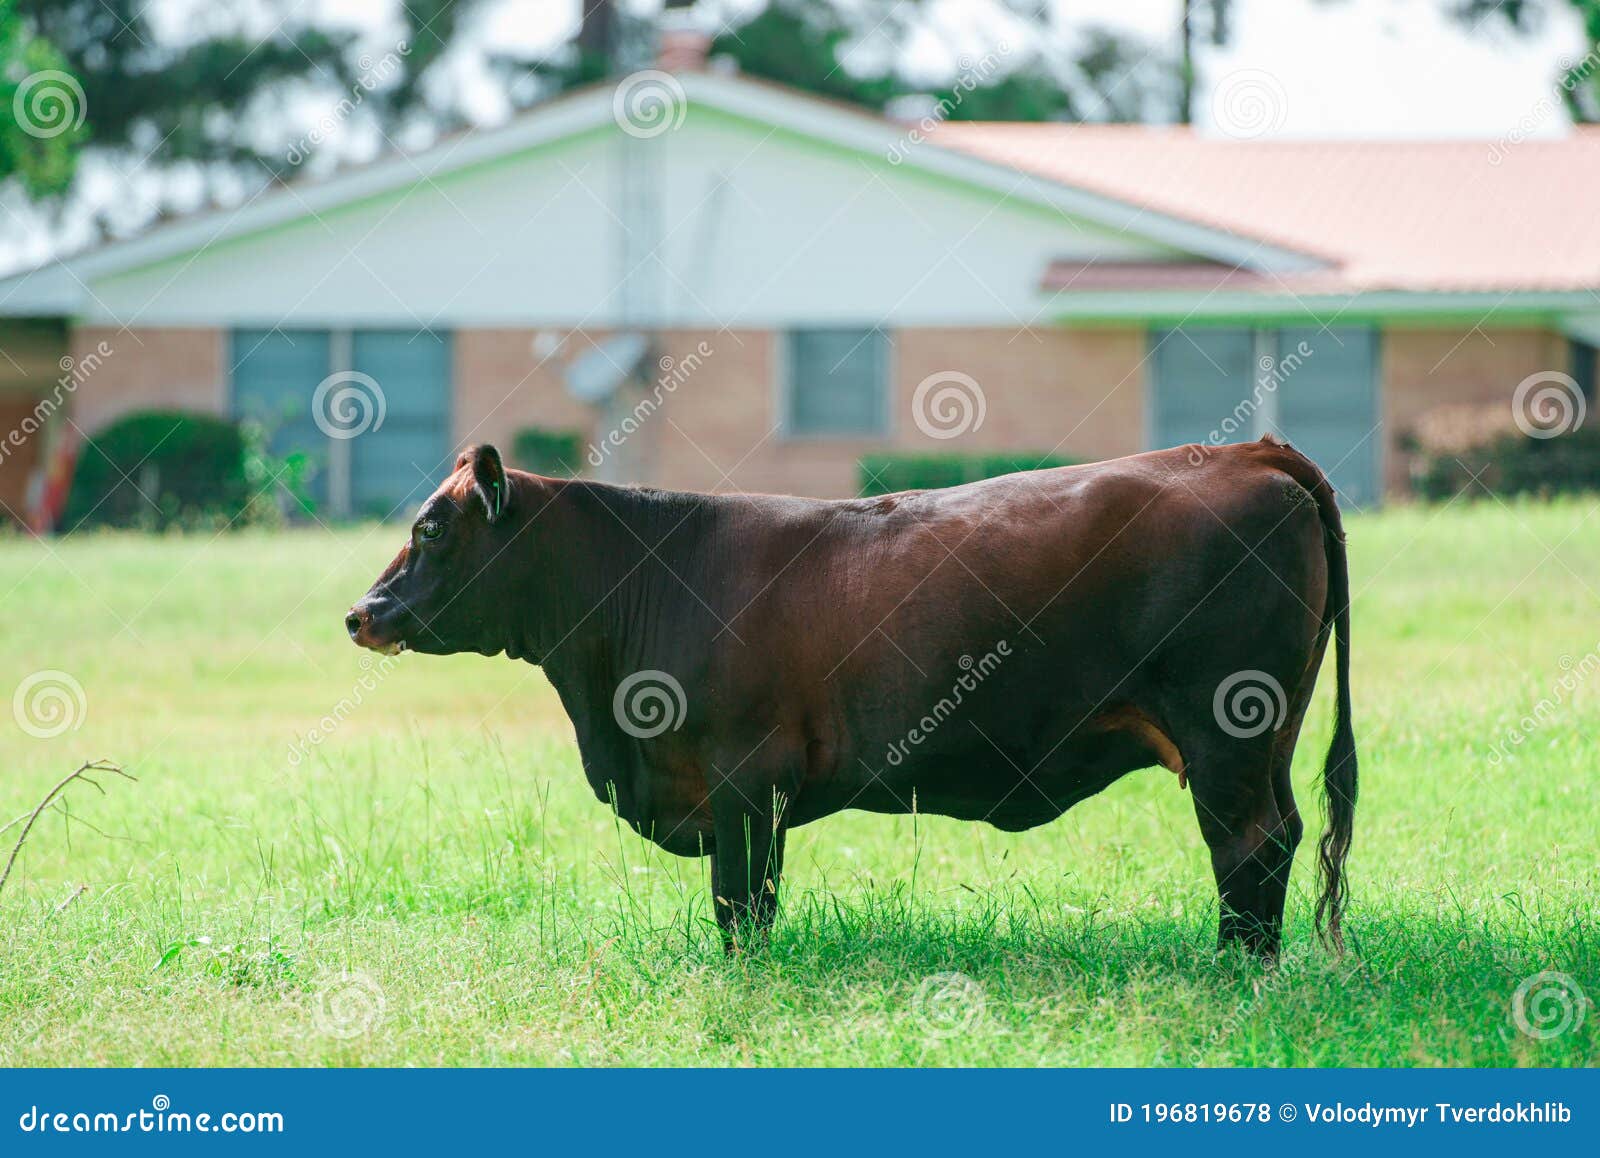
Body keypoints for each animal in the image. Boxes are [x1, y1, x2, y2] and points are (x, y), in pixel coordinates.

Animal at [346, 435, 1356, 959]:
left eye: (429, 529)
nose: (362, 613)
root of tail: (1249, 451)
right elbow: (751, 900)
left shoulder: (745, 779)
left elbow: (741, 904)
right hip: (1267, 734)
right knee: (1282, 837)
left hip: (1225, 730)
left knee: (1247, 845)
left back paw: (1235, 971)